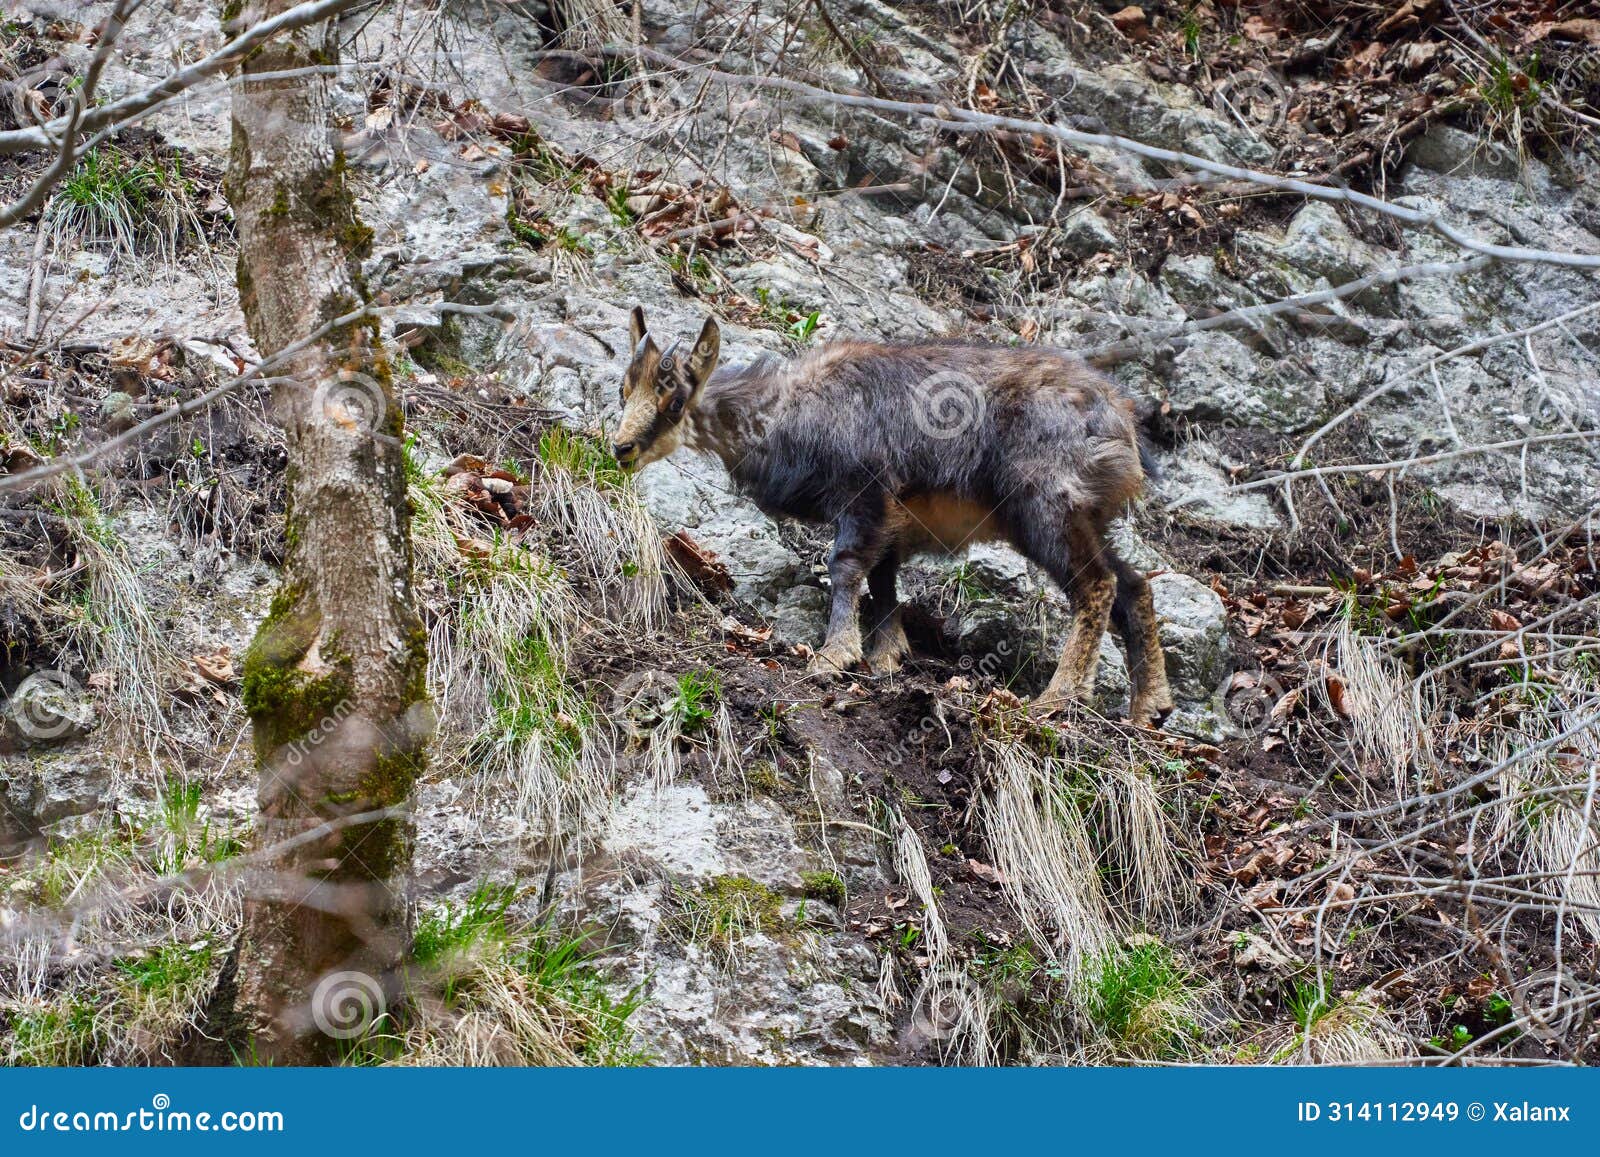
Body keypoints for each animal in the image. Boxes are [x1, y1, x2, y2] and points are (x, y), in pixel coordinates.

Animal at [612, 306, 1175, 726]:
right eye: (625, 389)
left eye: (675, 400)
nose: (621, 448)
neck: (783, 413)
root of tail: (1119, 422)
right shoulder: (891, 515)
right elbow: (884, 577)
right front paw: (887, 656)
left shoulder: (863, 491)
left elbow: (845, 567)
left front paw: (833, 656)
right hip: (1083, 516)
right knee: (1133, 584)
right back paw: (1150, 707)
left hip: (1045, 506)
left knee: (1097, 584)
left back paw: (1058, 698)